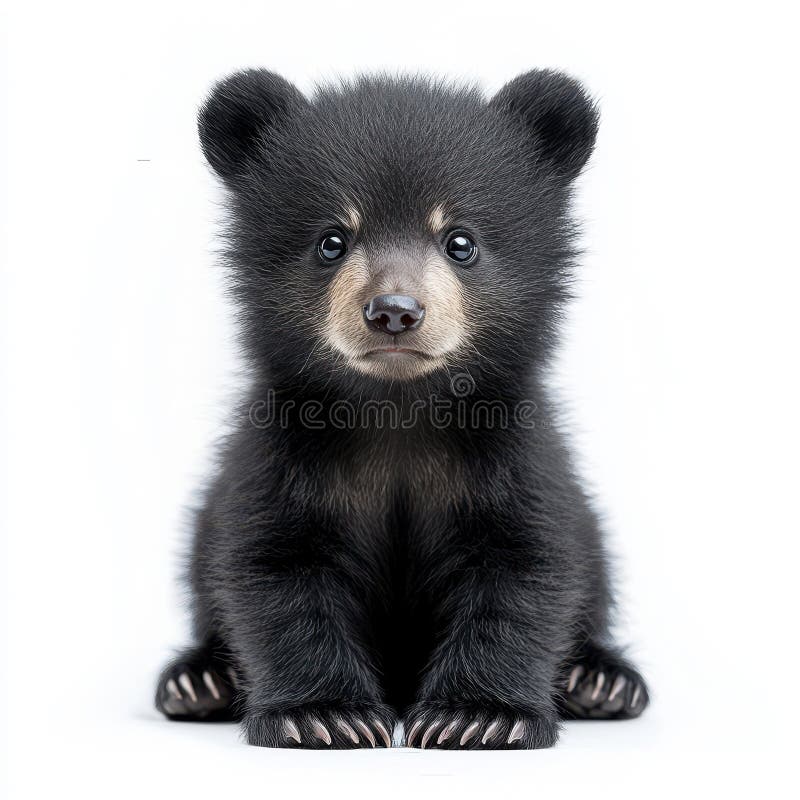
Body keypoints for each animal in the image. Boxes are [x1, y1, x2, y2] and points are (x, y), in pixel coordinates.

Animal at [155, 68, 649, 749]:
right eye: (332, 241)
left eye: (460, 241)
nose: (394, 310)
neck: (398, 411)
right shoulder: (282, 455)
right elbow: (273, 570)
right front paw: (322, 714)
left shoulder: (514, 455)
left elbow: (527, 568)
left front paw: (478, 716)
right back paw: (198, 681)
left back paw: (601, 680)